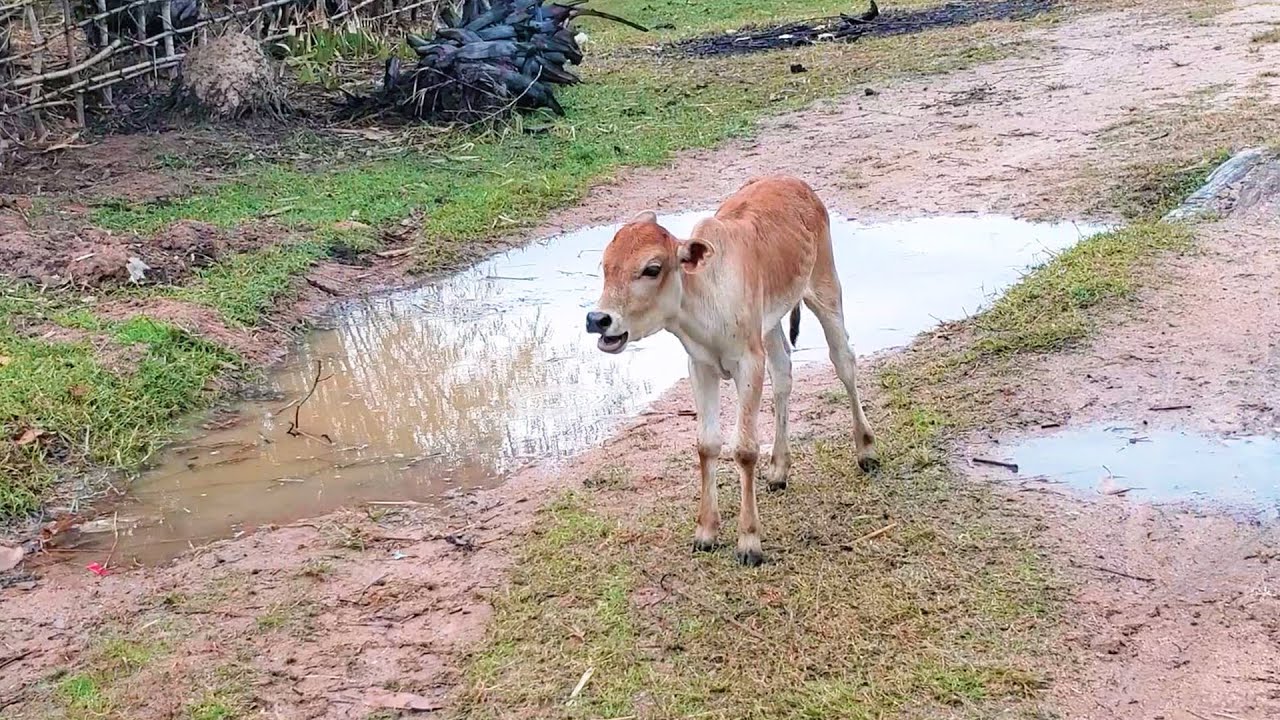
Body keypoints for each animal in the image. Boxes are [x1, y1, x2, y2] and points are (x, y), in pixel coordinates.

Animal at [585, 175, 878, 566]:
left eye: (652, 268)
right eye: (605, 265)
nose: (597, 319)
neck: (704, 301)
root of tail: (792, 181)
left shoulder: (747, 363)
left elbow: (744, 449)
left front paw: (749, 541)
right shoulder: (701, 366)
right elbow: (707, 444)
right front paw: (706, 532)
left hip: (825, 287)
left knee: (843, 361)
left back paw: (866, 450)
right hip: (769, 324)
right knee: (783, 374)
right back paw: (779, 469)